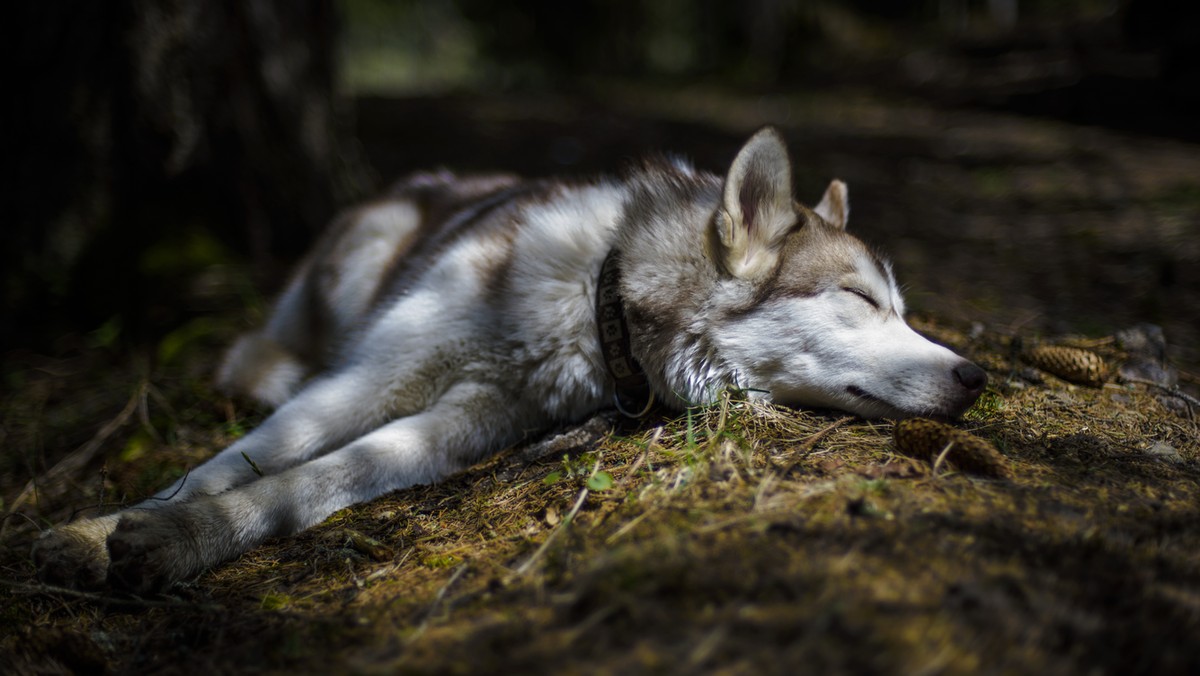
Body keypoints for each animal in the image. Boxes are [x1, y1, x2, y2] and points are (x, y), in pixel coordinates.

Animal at [35, 127, 984, 593]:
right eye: (859, 300)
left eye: (903, 309)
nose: (976, 376)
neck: (592, 296)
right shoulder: (369, 377)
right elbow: (222, 466)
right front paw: (100, 532)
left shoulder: (460, 425)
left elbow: (314, 482)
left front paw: (177, 541)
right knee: (266, 362)